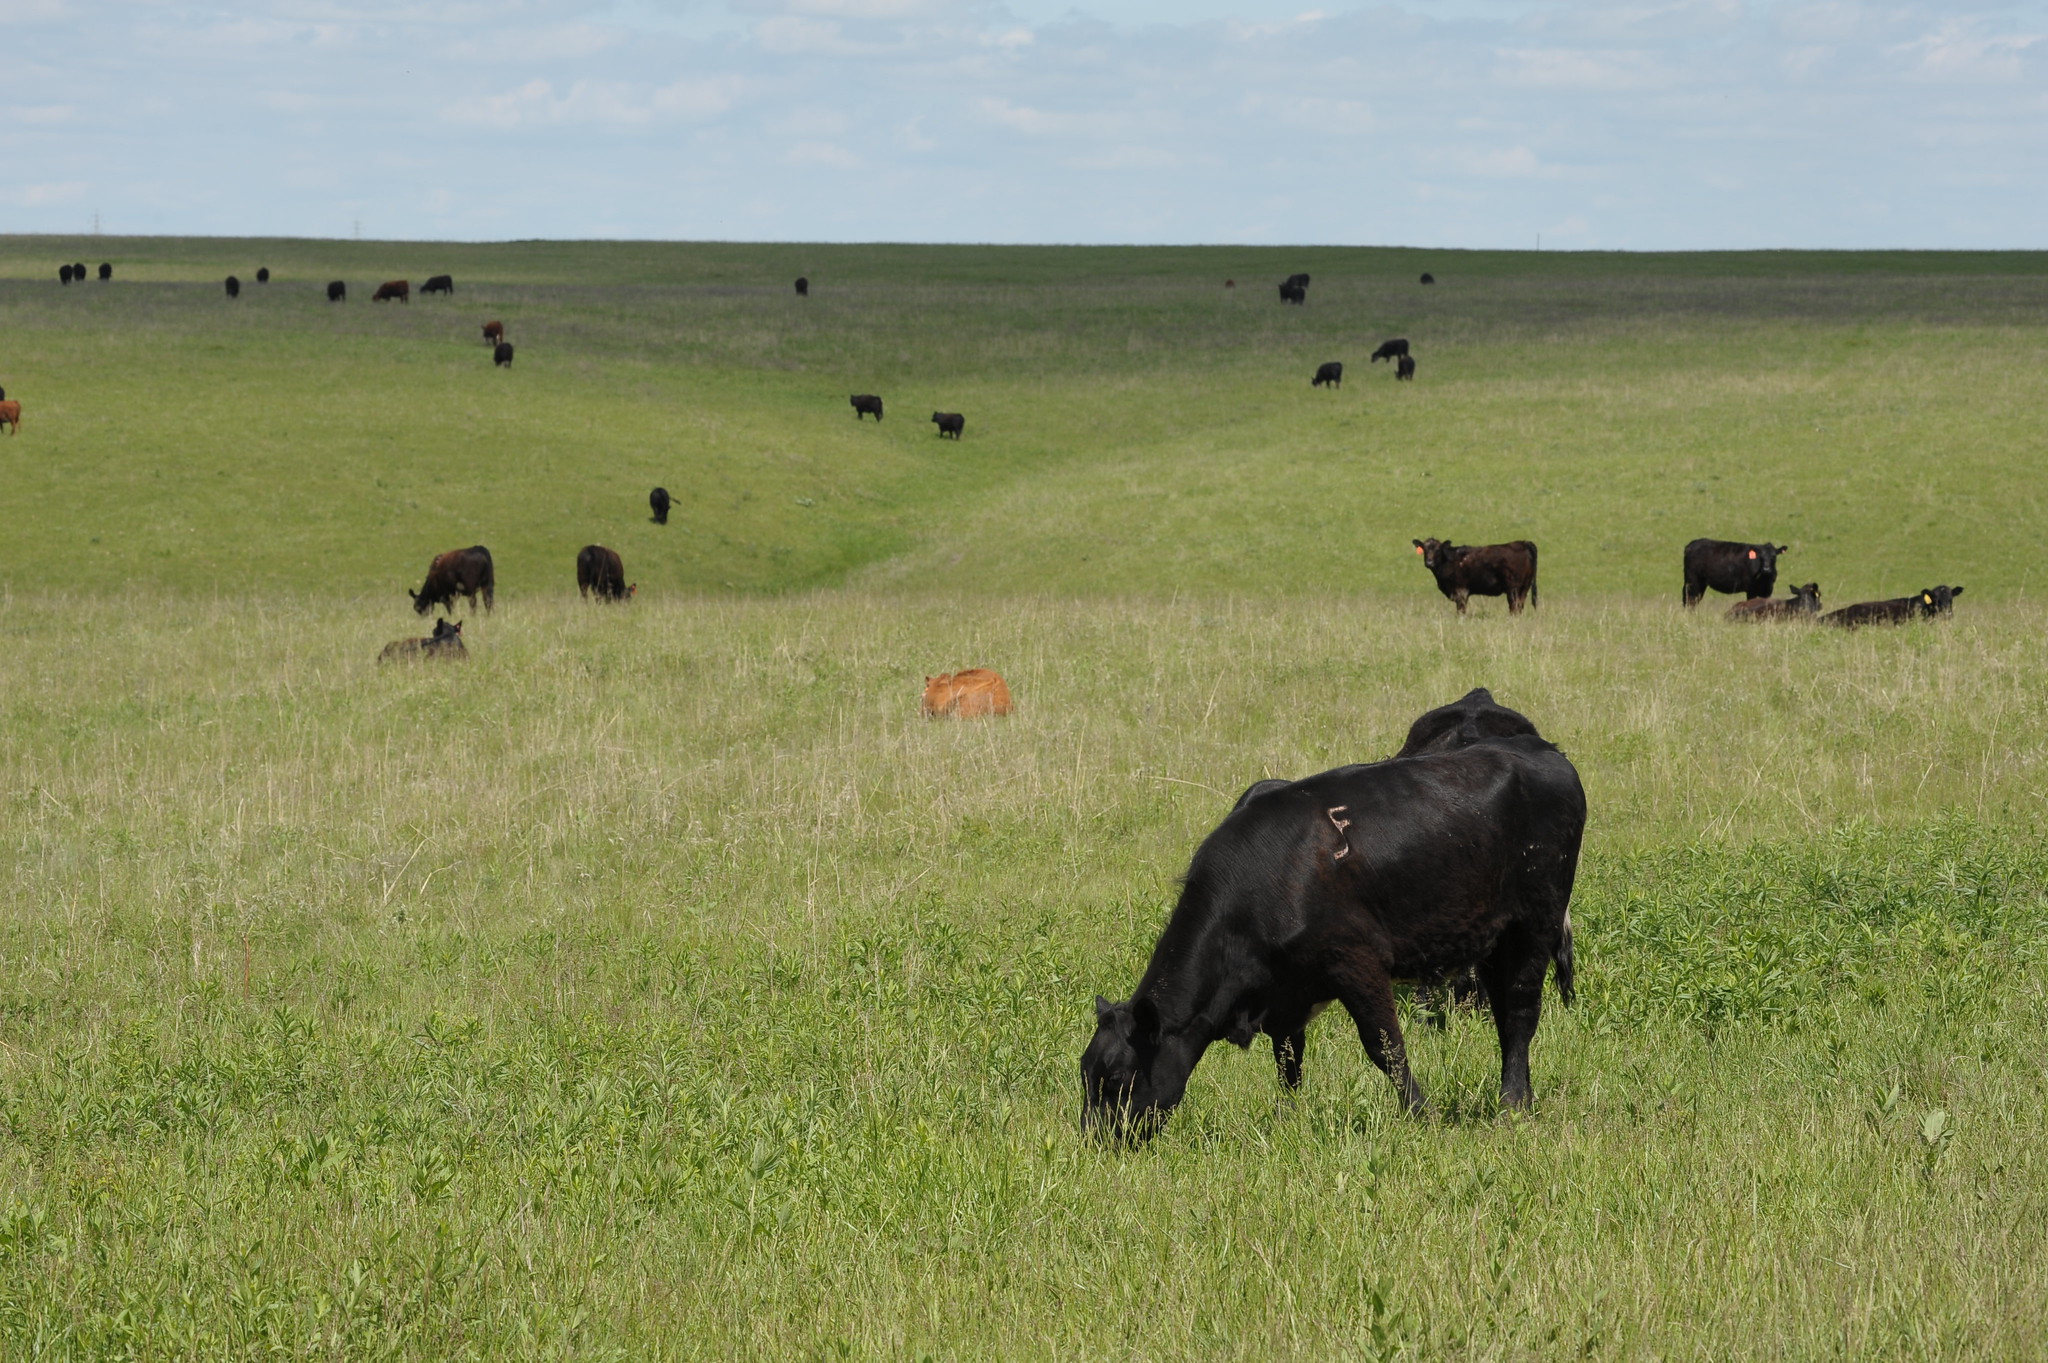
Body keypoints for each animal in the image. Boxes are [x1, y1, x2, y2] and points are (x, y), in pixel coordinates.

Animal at [1081, 687, 1583, 1141]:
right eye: (1086, 1073)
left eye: (1119, 1077)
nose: (1095, 1140)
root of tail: (1544, 751)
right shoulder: (1285, 994)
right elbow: (1289, 1061)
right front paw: (1288, 1120)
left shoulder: (1355, 961)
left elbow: (1386, 1047)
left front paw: (1422, 1115)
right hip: (1495, 937)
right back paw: (1523, 1098)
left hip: (1536, 921)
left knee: (1519, 1013)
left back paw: (1511, 1105)